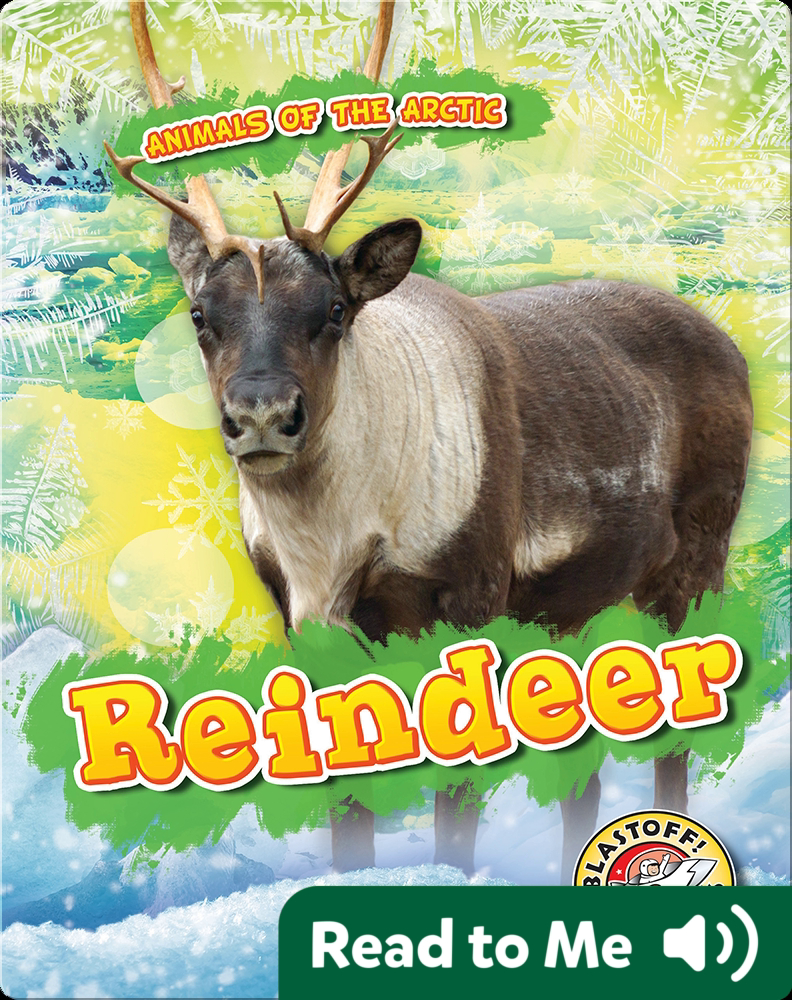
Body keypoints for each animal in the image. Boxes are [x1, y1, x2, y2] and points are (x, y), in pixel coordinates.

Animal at [107, 1, 752, 880]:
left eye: (334, 311)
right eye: (203, 316)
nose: (264, 415)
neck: (330, 551)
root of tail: (733, 348)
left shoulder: (471, 595)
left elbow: (456, 804)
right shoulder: (302, 617)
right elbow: (346, 807)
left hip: (694, 564)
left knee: (675, 738)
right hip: (573, 606)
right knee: (584, 762)